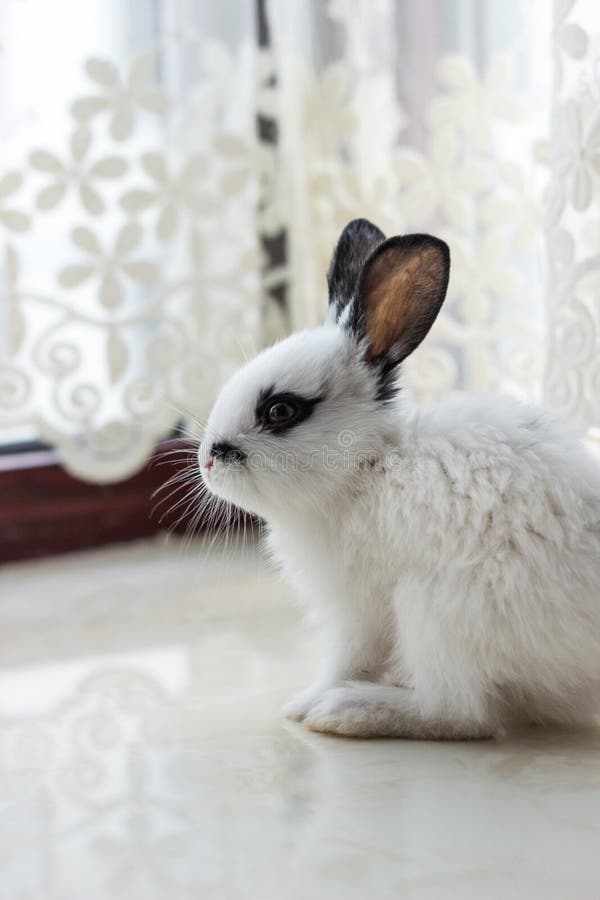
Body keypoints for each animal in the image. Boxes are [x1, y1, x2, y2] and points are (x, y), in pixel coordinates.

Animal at [199, 218, 600, 739]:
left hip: (433, 608)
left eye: (281, 410)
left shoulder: (356, 609)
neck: (364, 467)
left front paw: (304, 704)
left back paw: (347, 710)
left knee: (461, 712)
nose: (207, 460)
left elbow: (346, 661)